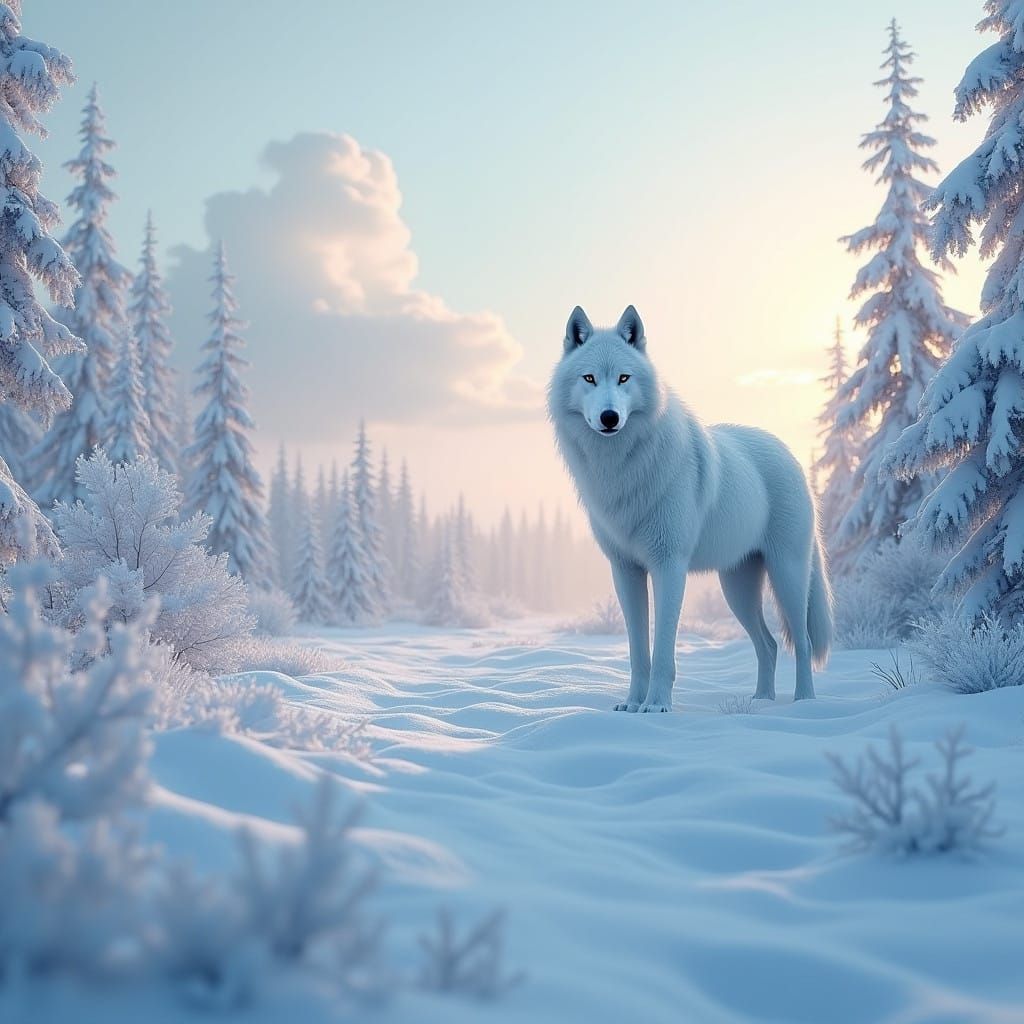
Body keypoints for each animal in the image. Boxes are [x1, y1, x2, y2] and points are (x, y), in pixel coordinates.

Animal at [549, 305, 832, 712]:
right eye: (589, 378)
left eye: (623, 378)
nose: (609, 417)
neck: (621, 467)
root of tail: (787, 452)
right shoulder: (625, 571)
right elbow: (638, 652)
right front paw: (631, 705)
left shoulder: (670, 565)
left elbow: (663, 651)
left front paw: (657, 706)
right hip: (737, 589)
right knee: (769, 644)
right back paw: (761, 701)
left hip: (788, 574)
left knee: (803, 641)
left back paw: (804, 703)